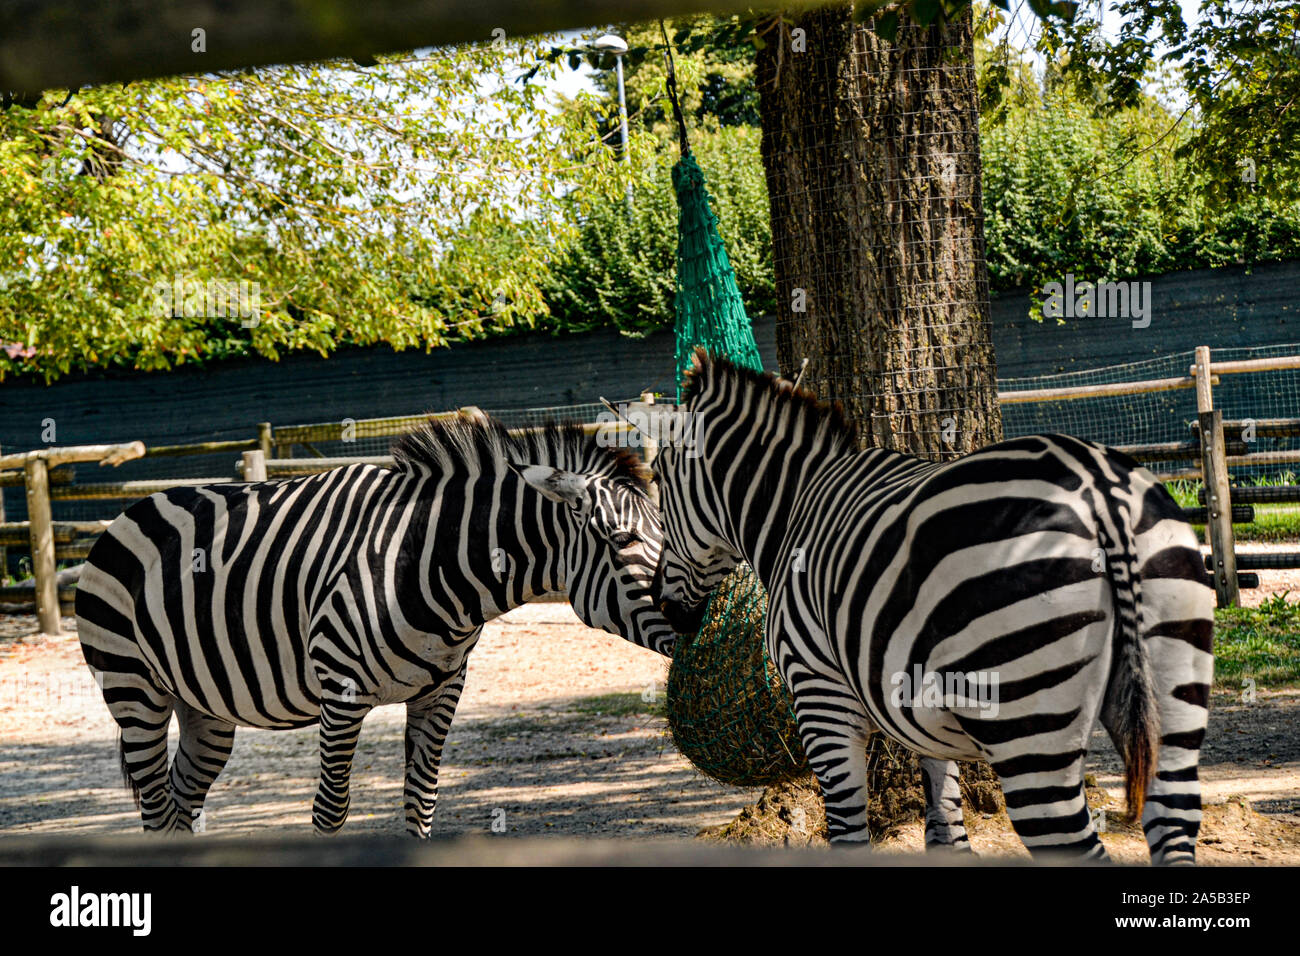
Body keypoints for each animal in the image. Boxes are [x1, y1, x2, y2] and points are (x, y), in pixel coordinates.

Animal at [76, 414, 675, 837]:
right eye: (623, 540)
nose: (692, 617)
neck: (431, 562)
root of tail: (132, 508)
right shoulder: (340, 695)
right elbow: (331, 810)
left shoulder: (442, 690)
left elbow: (422, 802)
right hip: (134, 689)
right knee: (157, 808)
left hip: (202, 706)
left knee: (181, 800)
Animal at [649, 352, 1213, 863]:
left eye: (656, 479)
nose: (664, 606)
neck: (793, 510)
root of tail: (1098, 488)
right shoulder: (919, 718)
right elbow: (946, 830)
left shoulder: (820, 694)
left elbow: (848, 832)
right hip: (1172, 684)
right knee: (1174, 822)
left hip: (1026, 722)